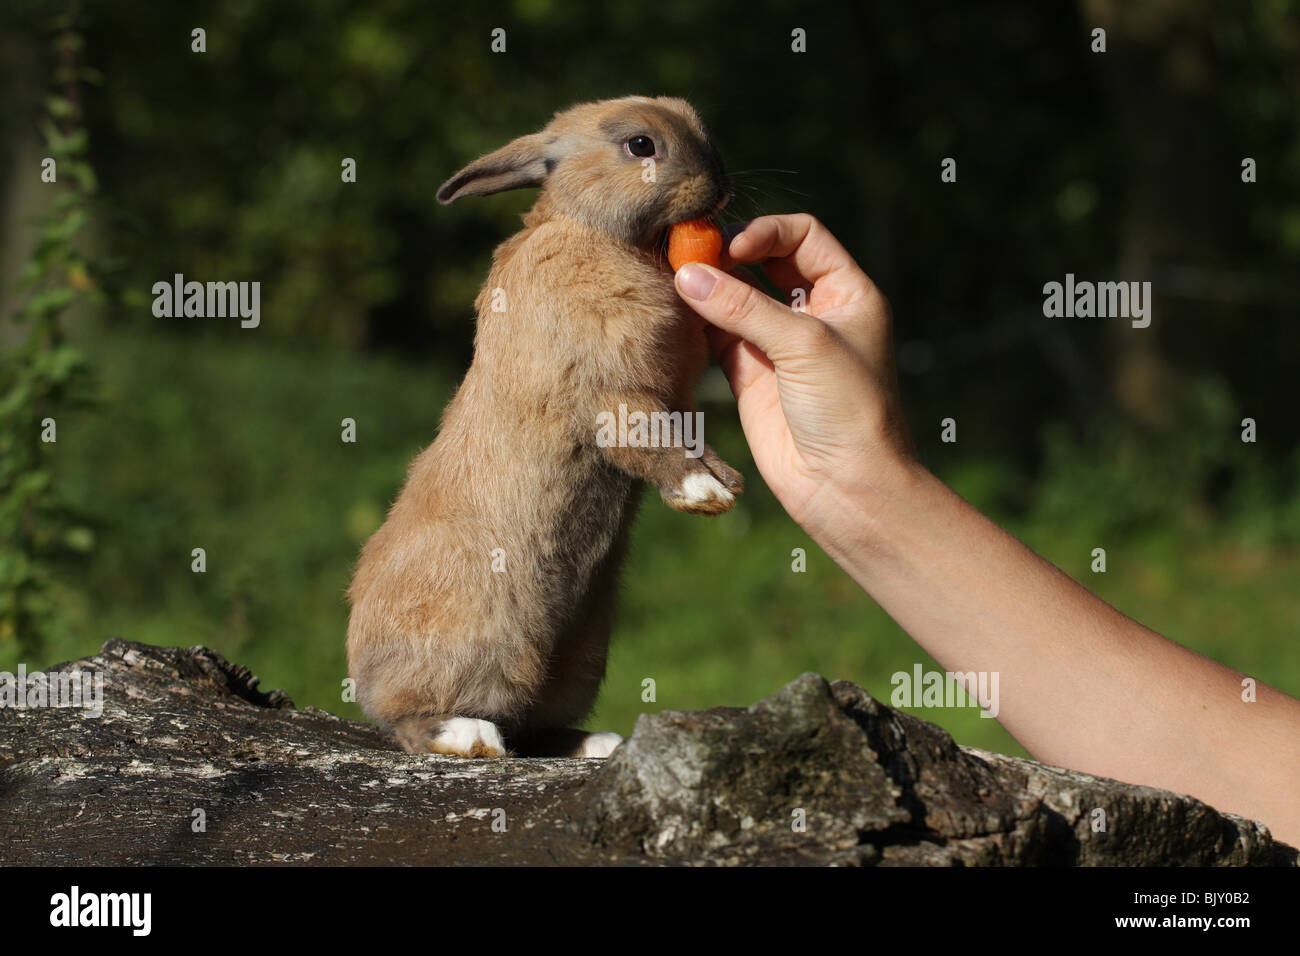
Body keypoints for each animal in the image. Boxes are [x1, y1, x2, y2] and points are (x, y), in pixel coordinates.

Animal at [346, 96, 743, 759]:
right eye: (641, 145)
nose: (719, 185)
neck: (592, 230)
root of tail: (363, 676)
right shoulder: (612, 392)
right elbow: (651, 442)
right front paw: (704, 494)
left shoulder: (671, 399)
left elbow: (683, 437)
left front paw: (725, 482)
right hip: (482, 638)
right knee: (416, 720)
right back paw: (466, 735)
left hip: (578, 651)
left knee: (535, 722)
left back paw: (599, 742)